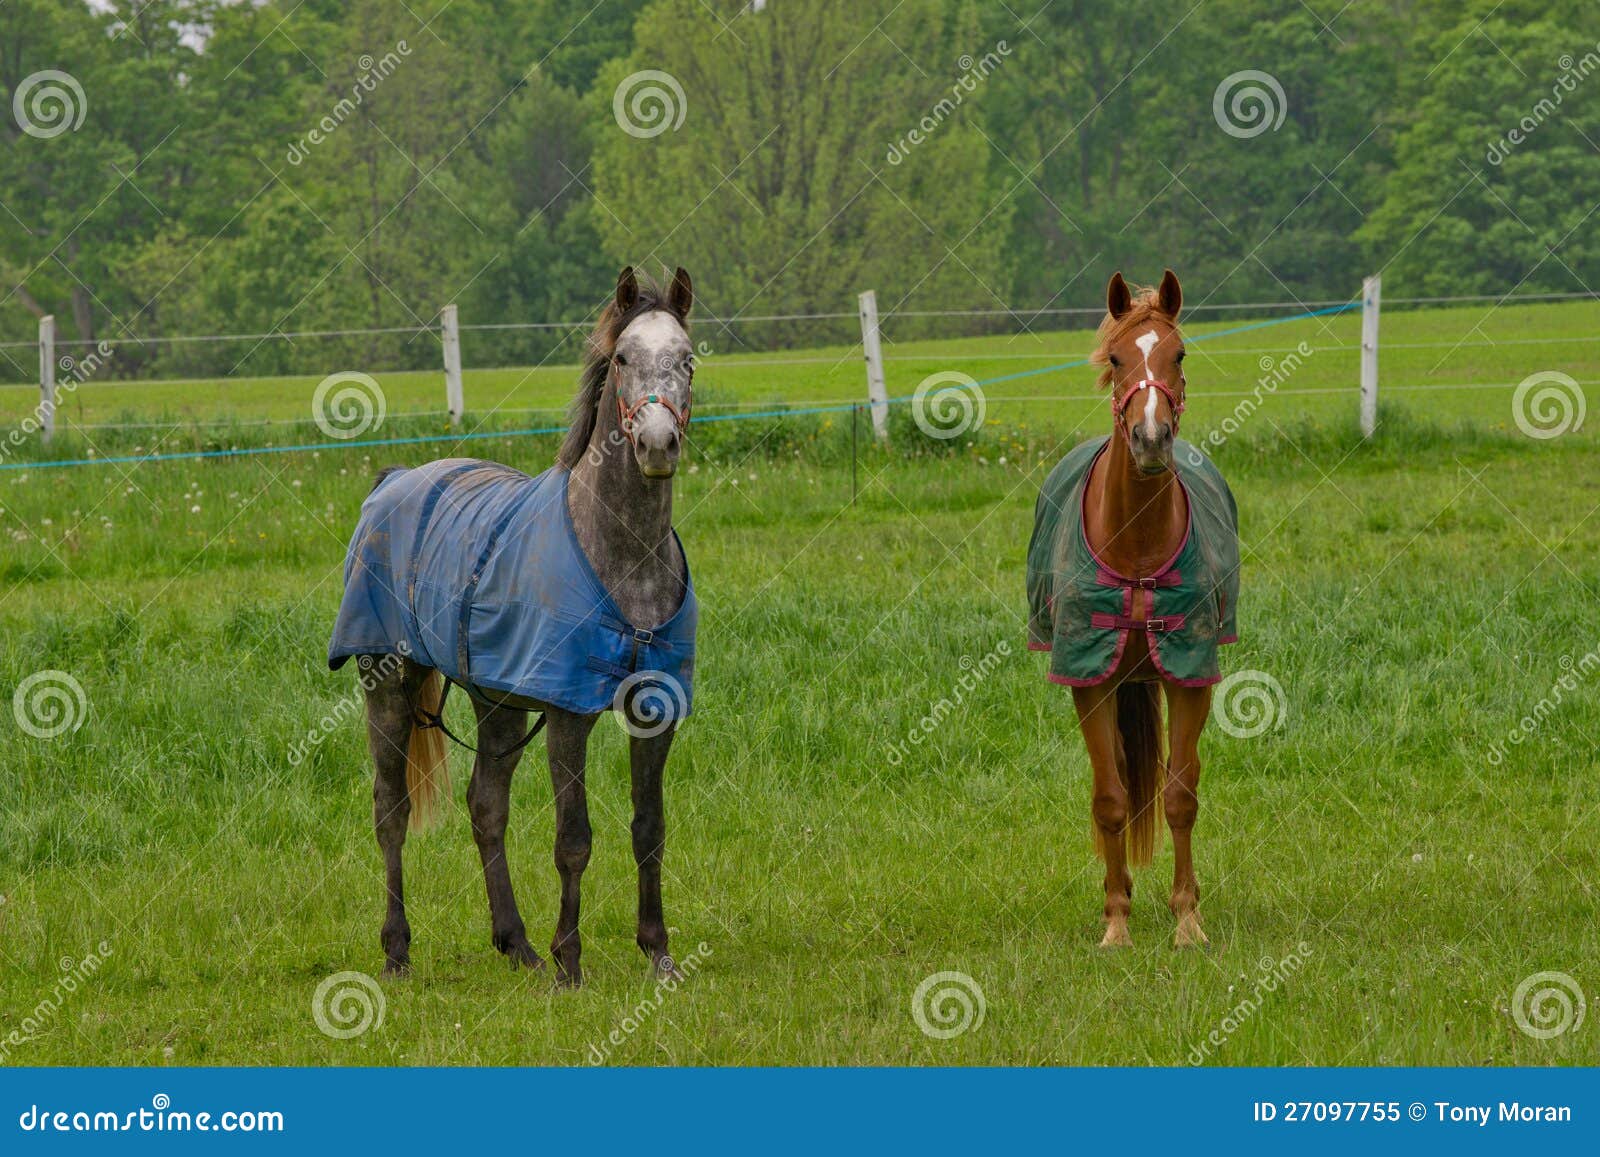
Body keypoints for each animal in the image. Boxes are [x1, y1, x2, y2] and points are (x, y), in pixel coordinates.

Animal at [329, 266, 698, 985]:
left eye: (688, 359)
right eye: (622, 358)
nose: (656, 445)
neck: (624, 558)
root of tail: (392, 481)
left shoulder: (655, 710)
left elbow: (650, 828)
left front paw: (658, 953)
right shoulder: (566, 715)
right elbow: (574, 839)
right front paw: (570, 964)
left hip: (496, 706)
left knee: (485, 806)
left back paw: (515, 942)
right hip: (386, 684)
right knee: (390, 811)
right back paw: (397, 950)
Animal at [1026, 270, 1240, 949]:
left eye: (1180, 355)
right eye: (1117, 358)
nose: (1150, 439)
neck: (1138, 545)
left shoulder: (1190, 672)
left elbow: (1179, 795)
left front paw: (1187, 920)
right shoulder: (1087, 676)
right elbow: (1111, 799)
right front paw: (1116, 923)